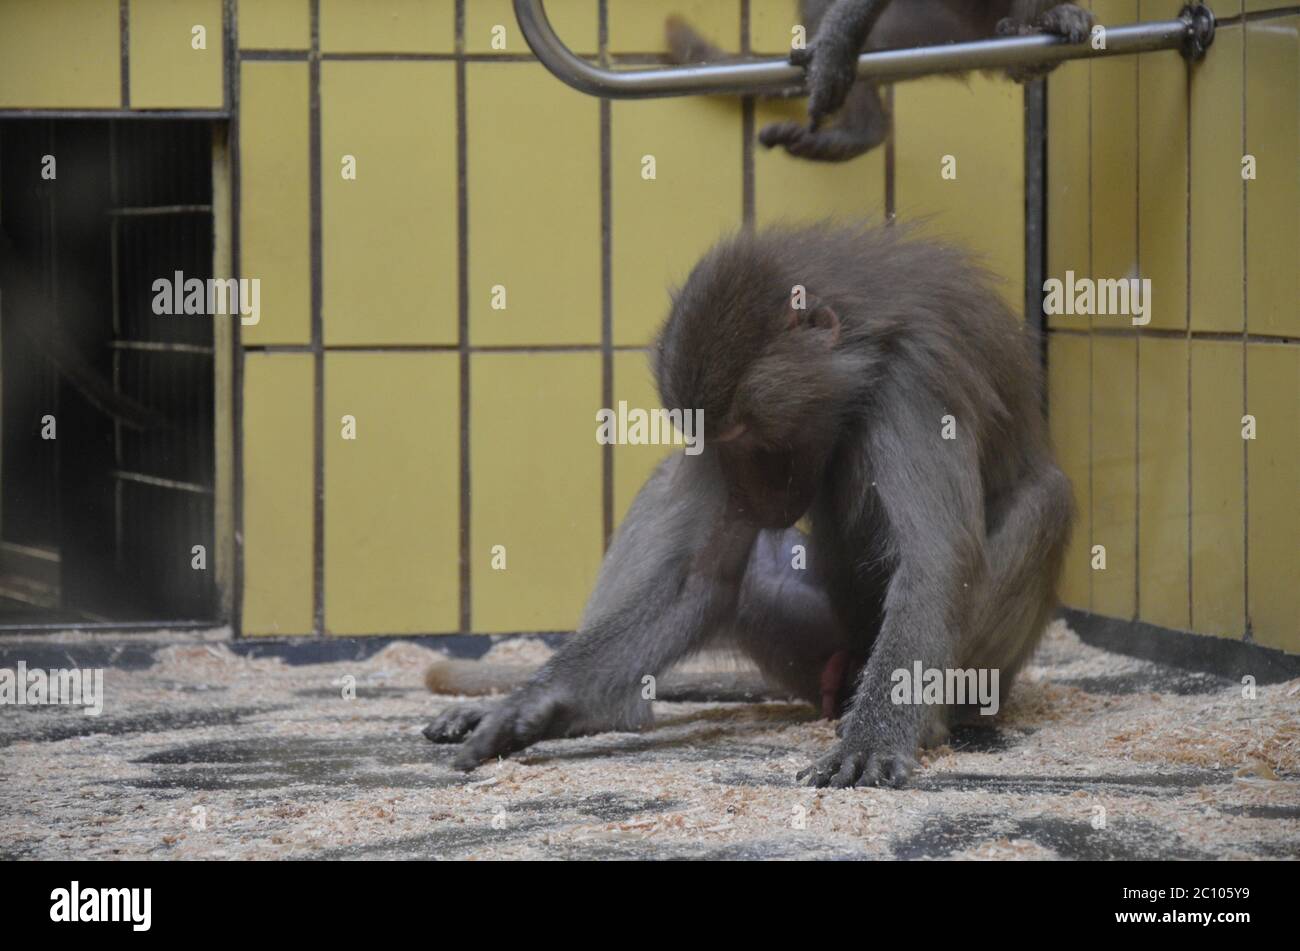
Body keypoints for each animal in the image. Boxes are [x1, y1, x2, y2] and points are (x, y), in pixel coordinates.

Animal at [425, 222, 1075, 788]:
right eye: (712, 439)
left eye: (747, 435)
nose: (751, 498)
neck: (862, 344)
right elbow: (697, 578)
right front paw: (534, 701)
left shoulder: (917, 382)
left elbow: (936, 561)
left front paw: (872, 741)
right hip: (815, 646)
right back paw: (603, 711)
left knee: (1047, 501)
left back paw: (933, 721)